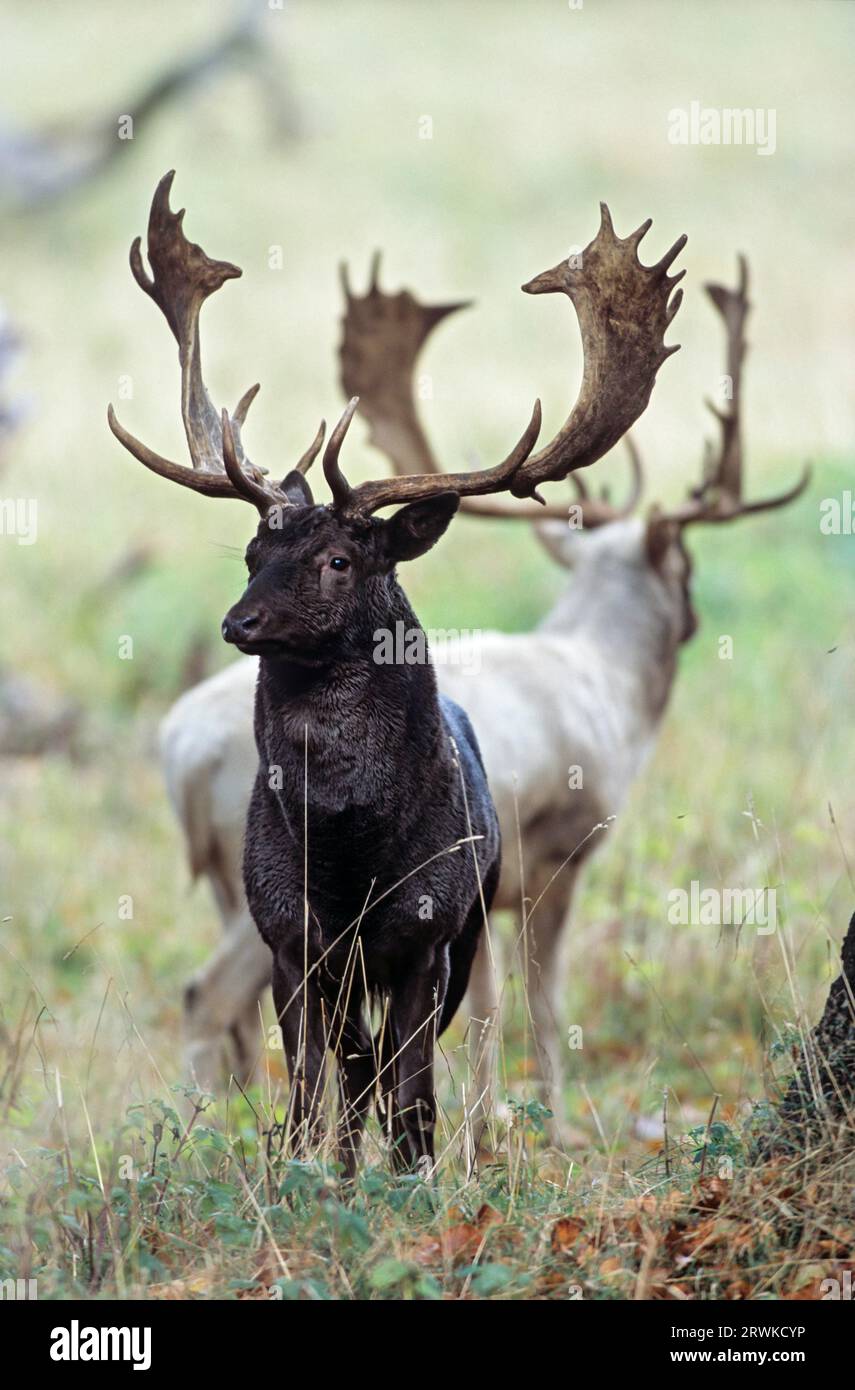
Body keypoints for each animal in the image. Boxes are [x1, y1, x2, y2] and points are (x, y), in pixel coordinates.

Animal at [108, 175, 683, 1170]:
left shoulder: (431, 929)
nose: (238, 622)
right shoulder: (292, 938)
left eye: (341, 559)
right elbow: (319, 1087)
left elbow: (409, 1093)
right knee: (316, 1057)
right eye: (252, 550)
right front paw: (317, 1172)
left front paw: (407, 1175)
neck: (348, 849)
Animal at [161, 221, 809, 1134]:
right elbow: (539, 1000)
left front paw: (489, 1126)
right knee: (208, 993)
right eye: (687, 566)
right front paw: (554, 1117)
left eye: (326, 558)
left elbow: (476, 1018)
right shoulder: (561, 852)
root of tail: (179, 753)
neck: (611, 687)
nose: (238, 621)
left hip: (228, 884)